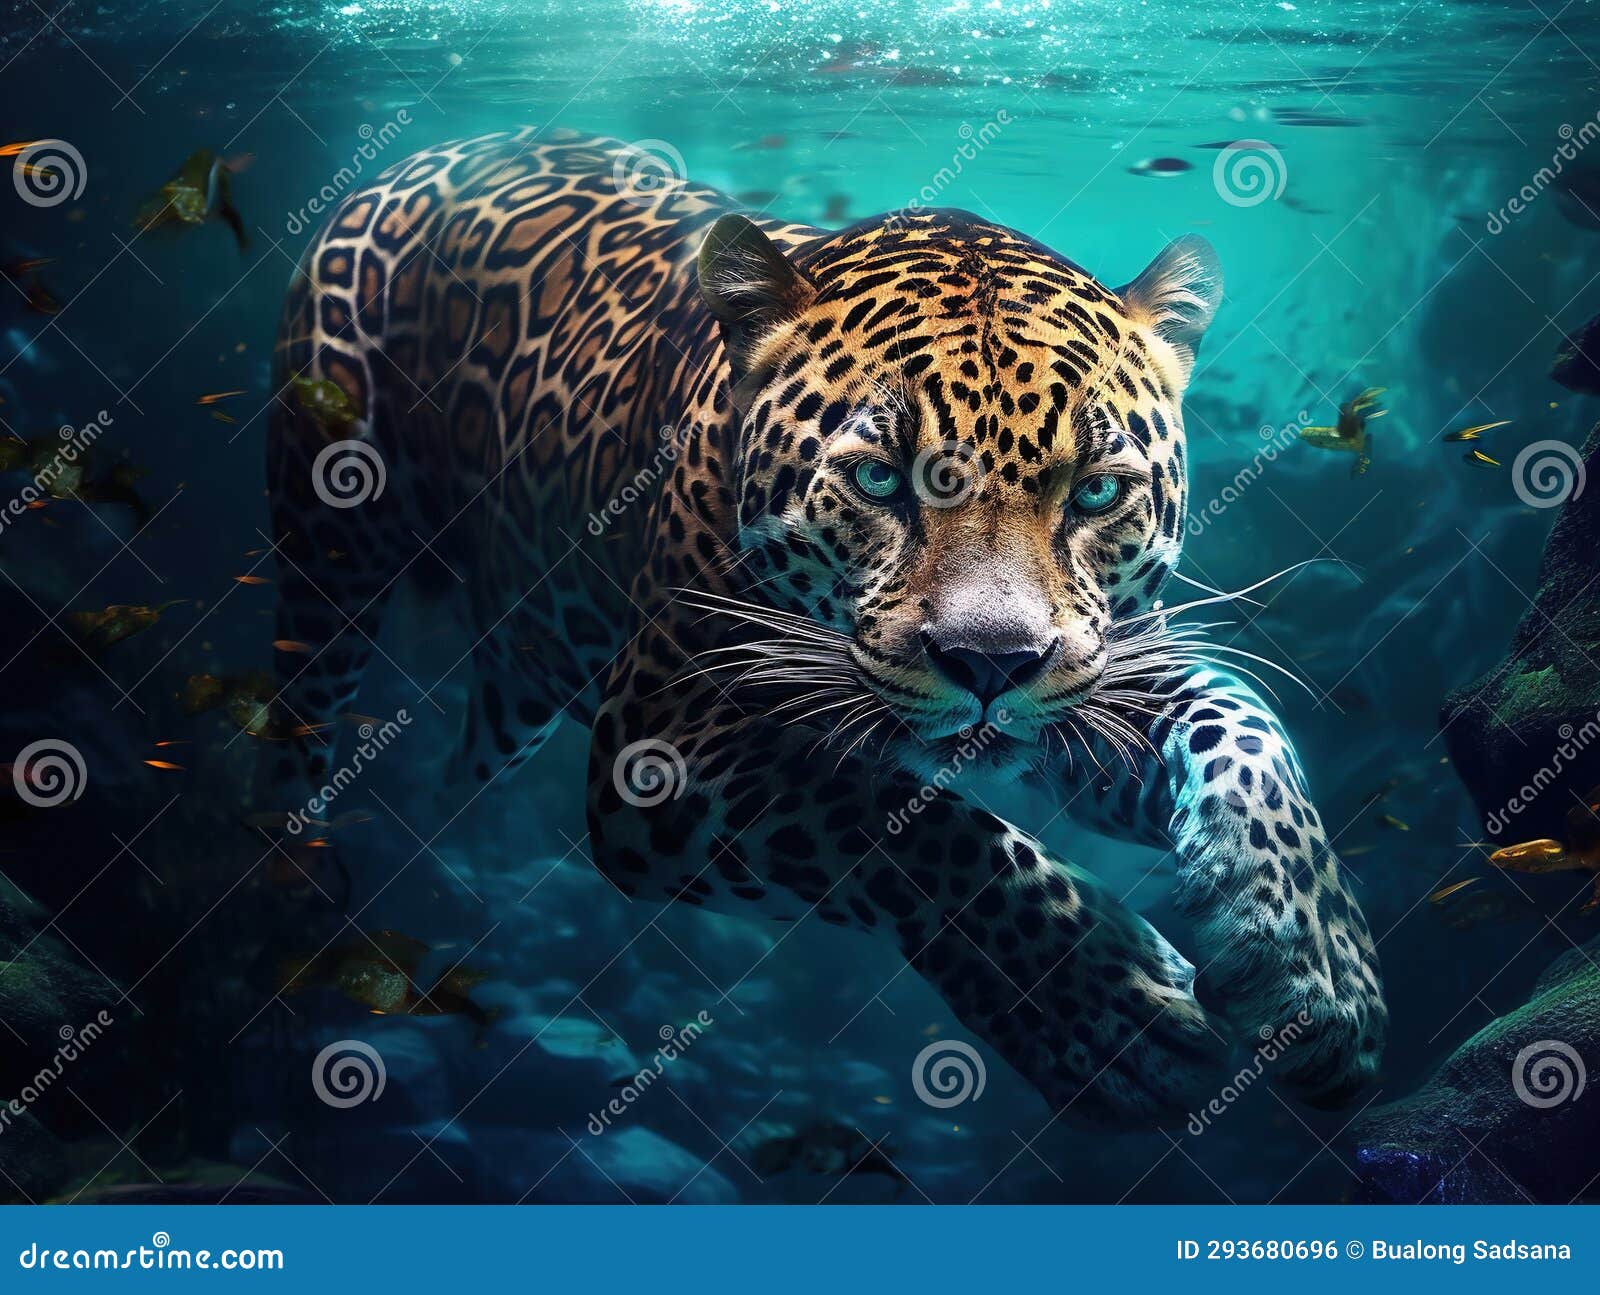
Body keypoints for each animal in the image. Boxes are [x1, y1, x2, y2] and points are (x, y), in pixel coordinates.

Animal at [260, 126, 1386, 1128]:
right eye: (880, 479)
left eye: (1098, 492)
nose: (991, 664)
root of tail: (424, 155)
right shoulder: (654, 760)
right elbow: (907, 826)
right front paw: (1104, 1009)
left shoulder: (1093, 684)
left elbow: (1248, 723)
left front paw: (1315, 962)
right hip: (331, 531)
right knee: (306, 697)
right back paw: (297, 879)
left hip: (517, 671)